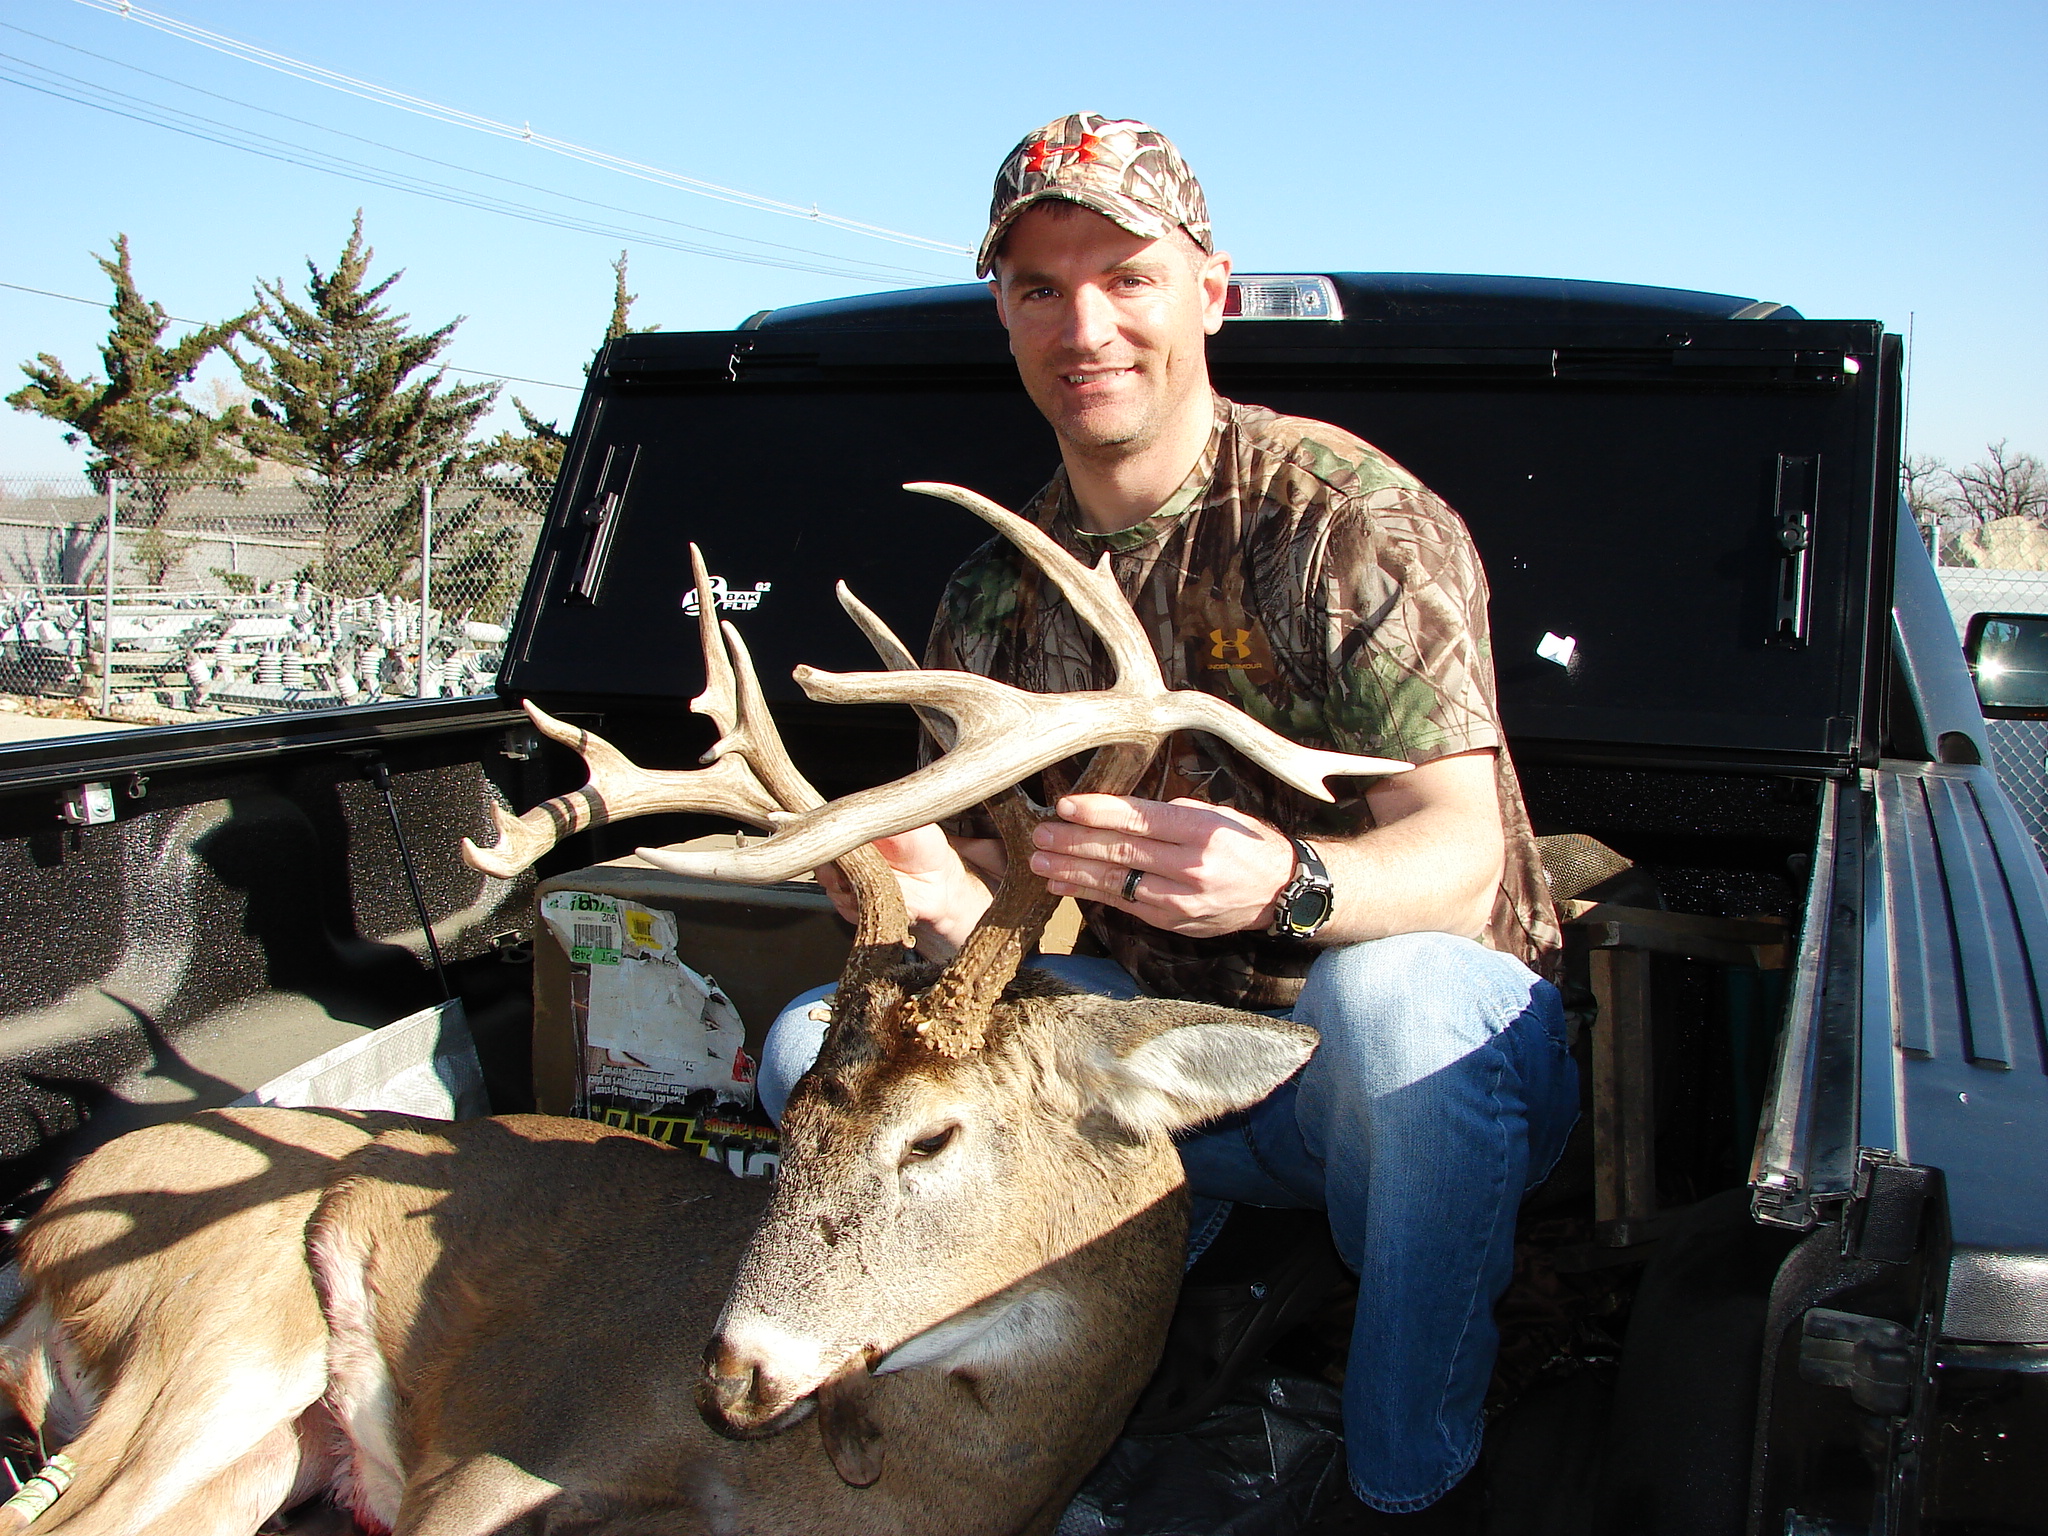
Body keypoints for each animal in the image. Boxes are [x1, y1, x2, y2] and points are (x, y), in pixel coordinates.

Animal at [0, 483, 1405, 1535]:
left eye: (932, 1137)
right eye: (799, 1122)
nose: (730, 1374)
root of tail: (50, 1218)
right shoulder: (507, 1451)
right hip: (221, 1325)